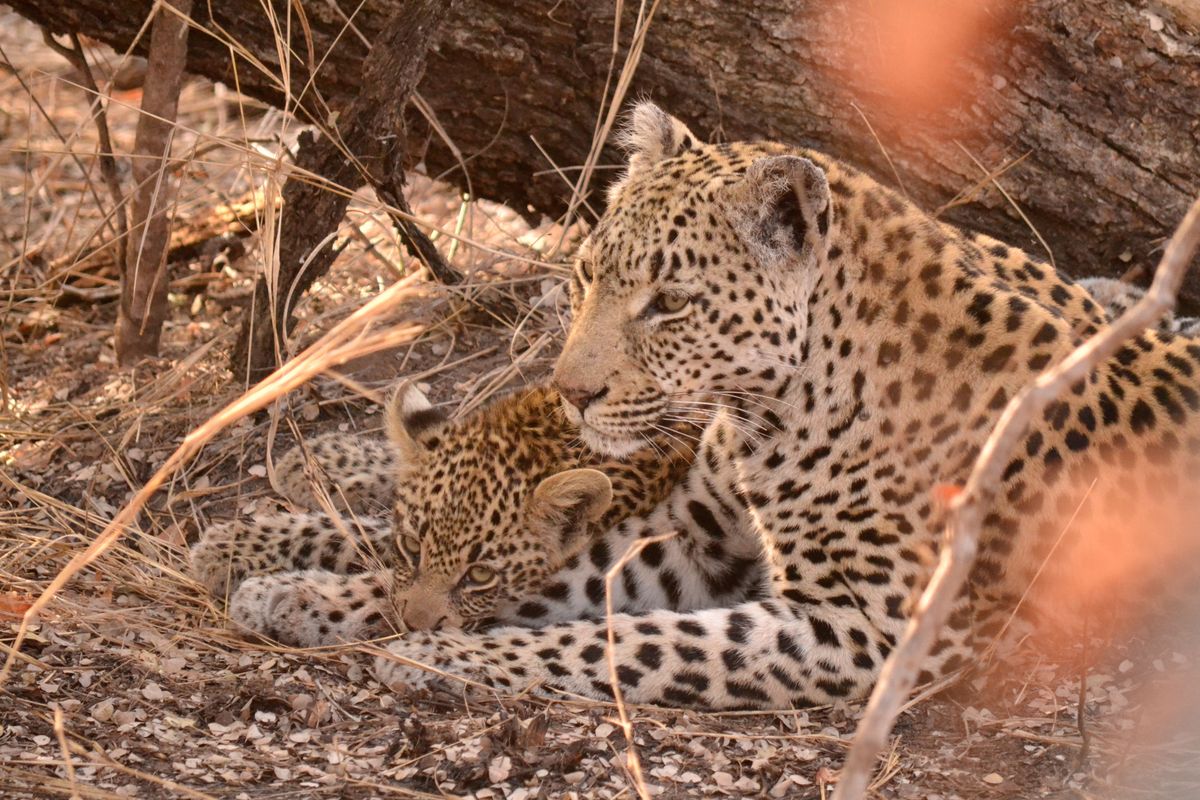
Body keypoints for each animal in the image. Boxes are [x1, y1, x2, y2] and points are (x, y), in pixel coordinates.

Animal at [190, 382, 720, 647]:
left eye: (480, 574)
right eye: (412, 547)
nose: (415, 625)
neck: (546, 438)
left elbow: (360, 533)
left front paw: (239, 560)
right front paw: (327, 461)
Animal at [363, 102, 1200, 710]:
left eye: (670, 303)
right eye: (586, 273)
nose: (572, 394)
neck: (771, 417)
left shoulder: (863, 632)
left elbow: (631, 642)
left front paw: (433, 656)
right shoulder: (698, 536)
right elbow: (571, 583)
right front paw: (361, 606)